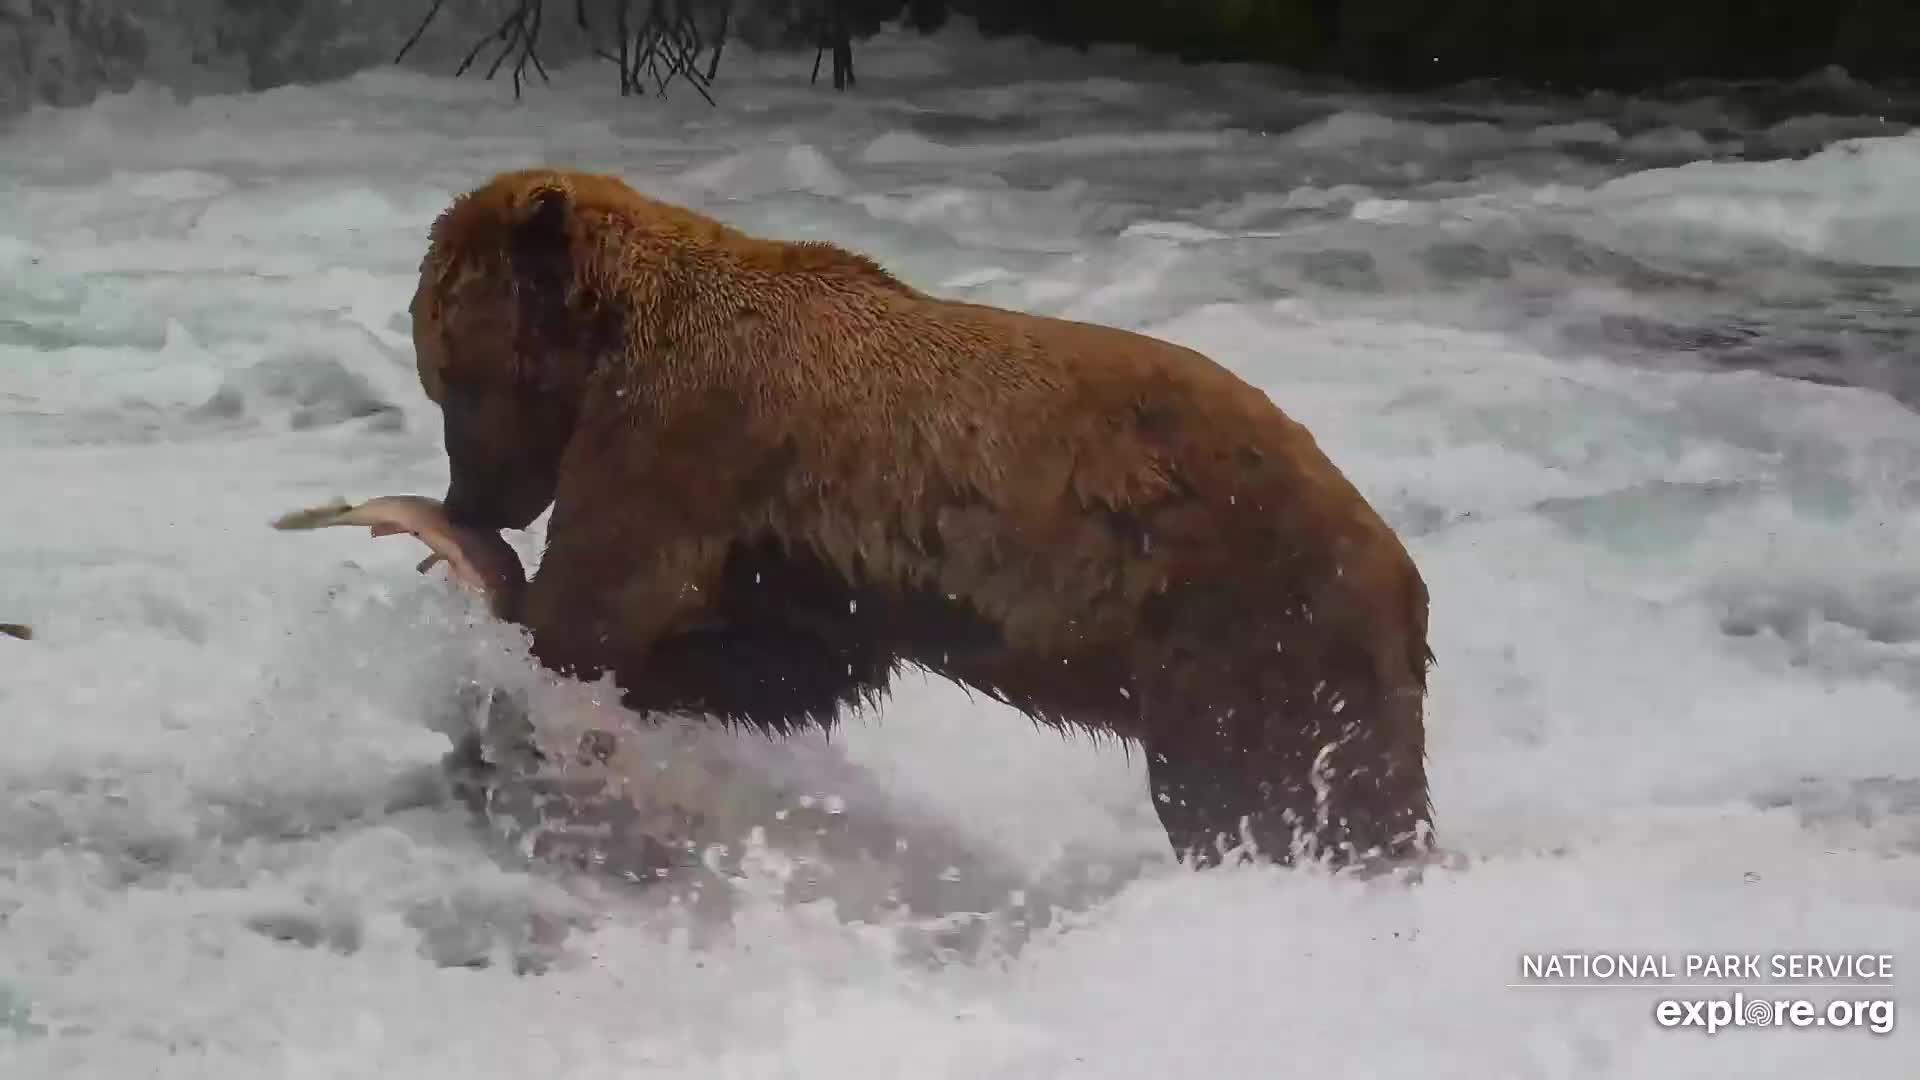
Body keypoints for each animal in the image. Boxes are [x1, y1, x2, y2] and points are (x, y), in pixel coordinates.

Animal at [407, 166, 1437, 870]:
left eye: (451, 379)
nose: (466, 503)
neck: (614, 331)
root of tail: (1403, 570)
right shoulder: (802, 553)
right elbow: (782, 660)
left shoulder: (687, 430)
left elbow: (600, 605)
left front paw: (505, 666)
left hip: (1243, 621)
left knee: (1251, 787)